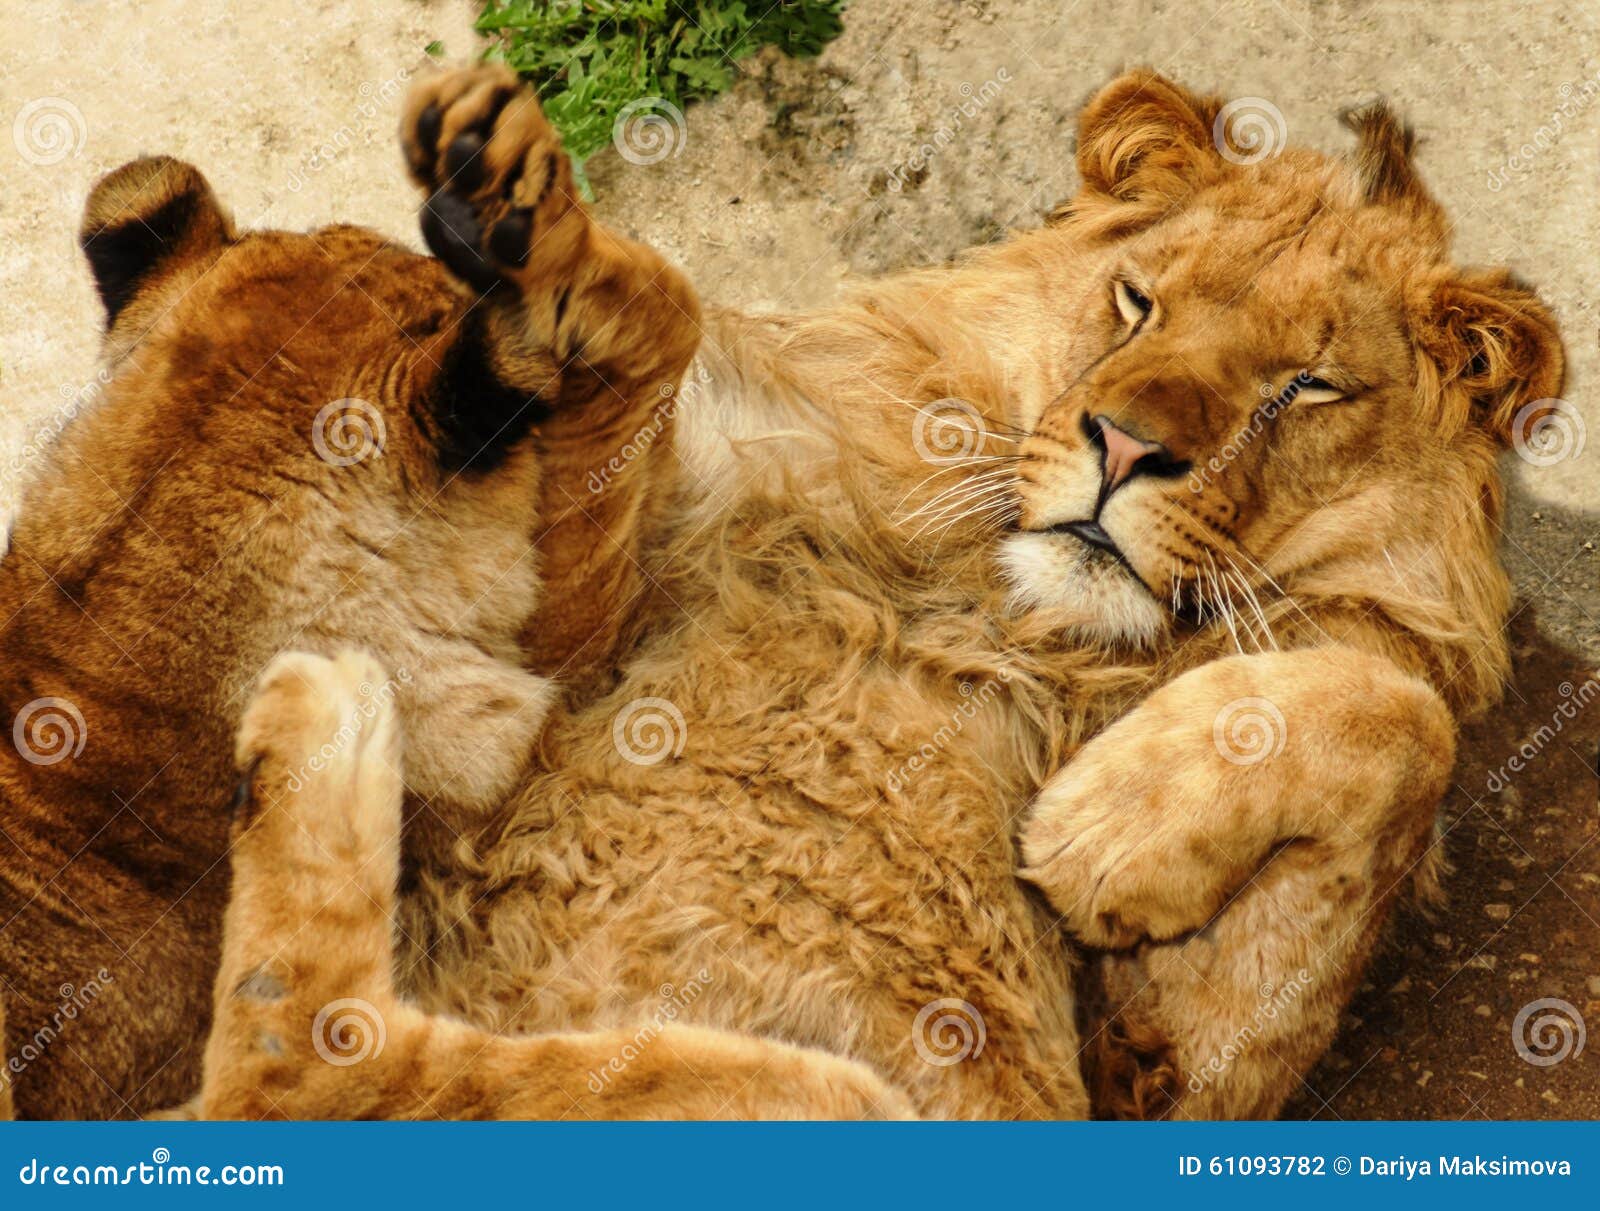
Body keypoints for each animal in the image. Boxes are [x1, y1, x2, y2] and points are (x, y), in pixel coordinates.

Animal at [4, 64, 1562, 1120]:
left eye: (1310, 386)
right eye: (1139, 301)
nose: (1127, 446)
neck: (1012, 607)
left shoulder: (1166, 1072)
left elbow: (1402, 716)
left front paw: (1104, 826)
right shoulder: (572, 632)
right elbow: (643, 347)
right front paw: (533, 227)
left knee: (313, 1066)